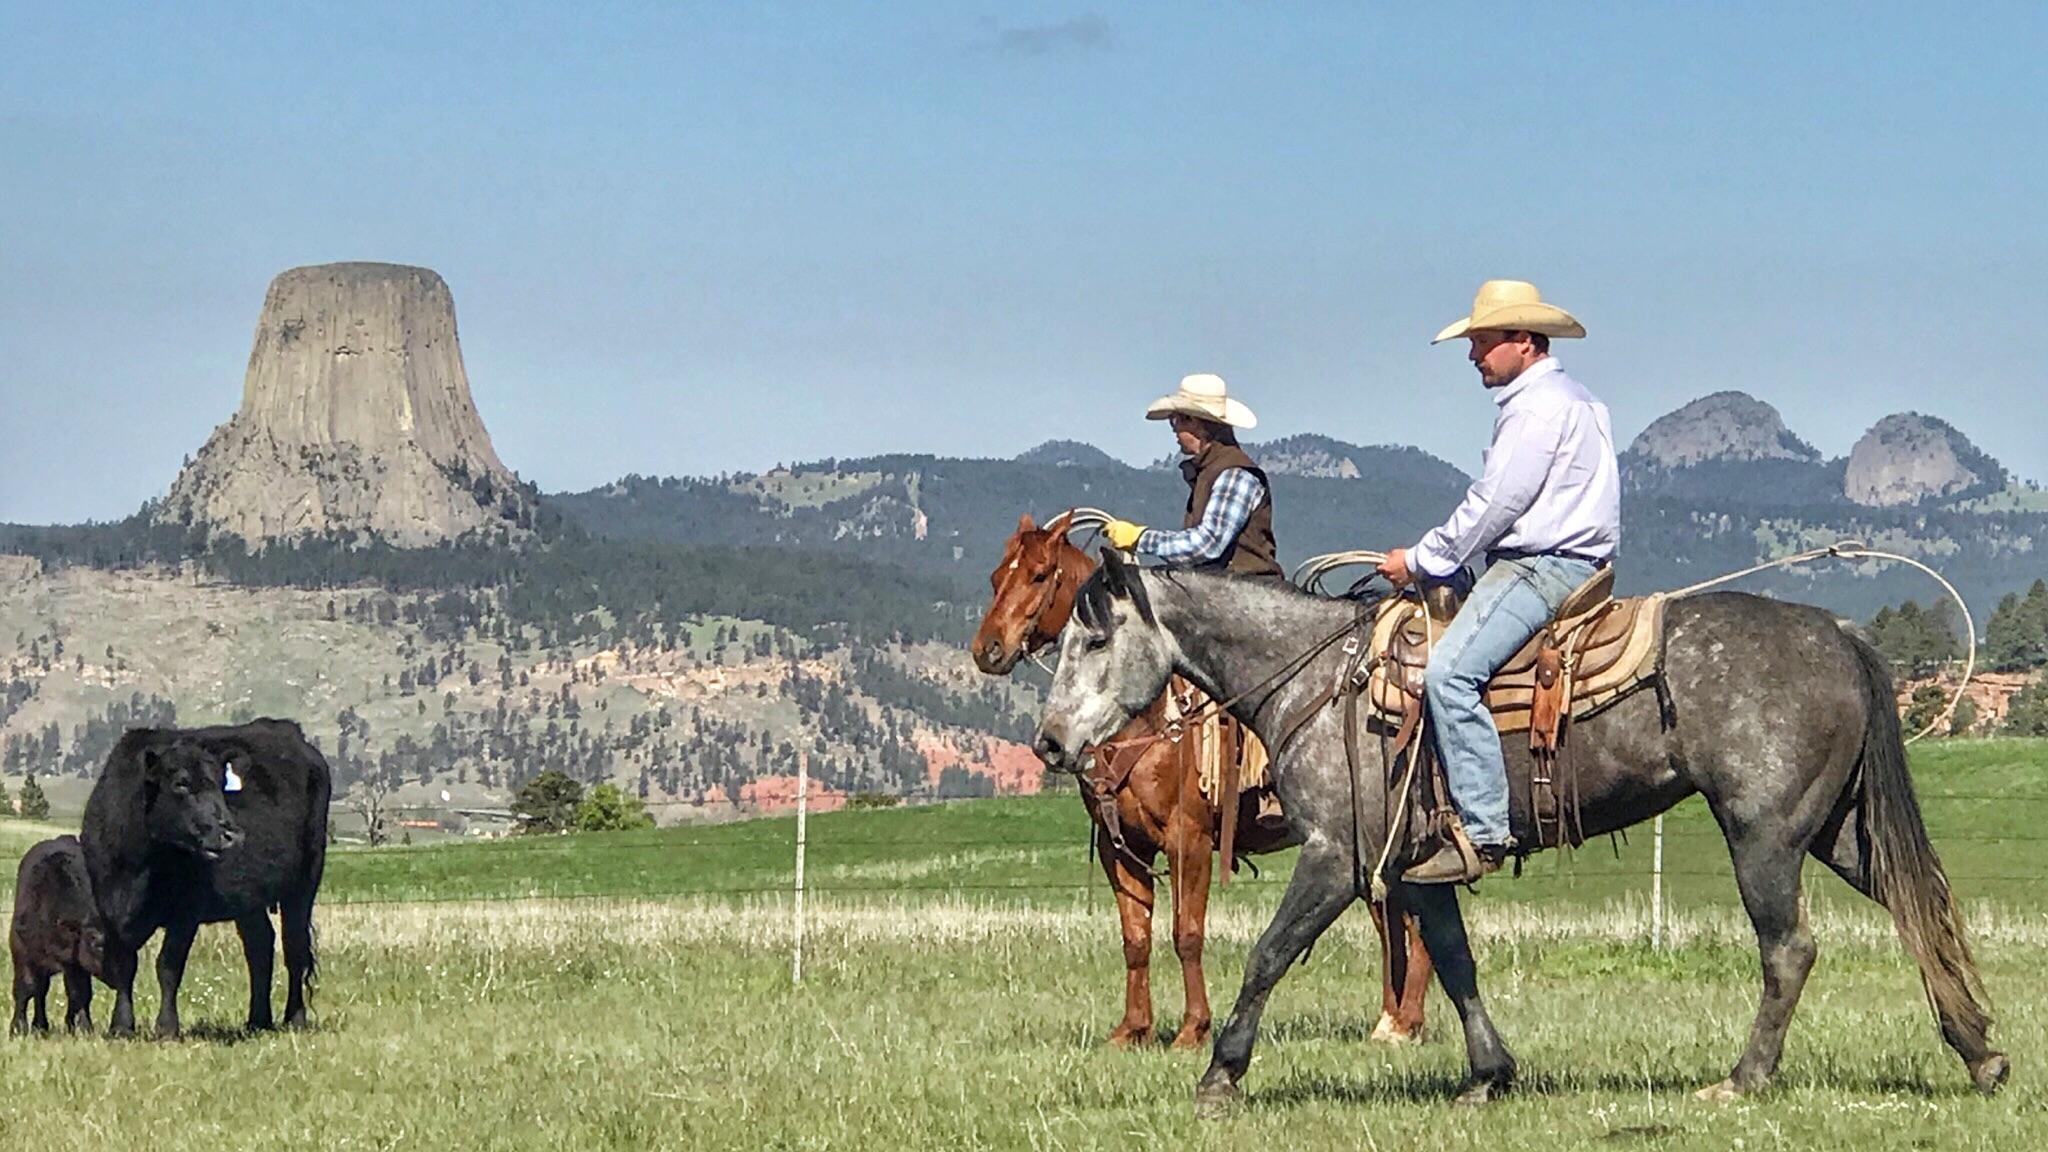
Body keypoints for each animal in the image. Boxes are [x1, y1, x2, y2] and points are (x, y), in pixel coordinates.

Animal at [10, 835, 106, 1035]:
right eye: (94, 940)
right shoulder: (20, 950)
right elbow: (25, 989)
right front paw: (18, 1027)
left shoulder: (74, 961)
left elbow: (80, 993)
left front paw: (83, 1027)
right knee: (39, 990)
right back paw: (40, 1026)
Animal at [81, 719, 330, 1038]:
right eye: (181, 783)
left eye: (222, 785)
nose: (231, 833)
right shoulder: (108, 907)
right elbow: (124, 964)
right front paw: (121, 1027)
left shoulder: (186, 912)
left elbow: (168, 965)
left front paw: (166, 1028)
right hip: (248, 898)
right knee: (260, 946)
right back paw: (257, 1020)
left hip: (304, 883)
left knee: (294, 947)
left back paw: (295, 1019)